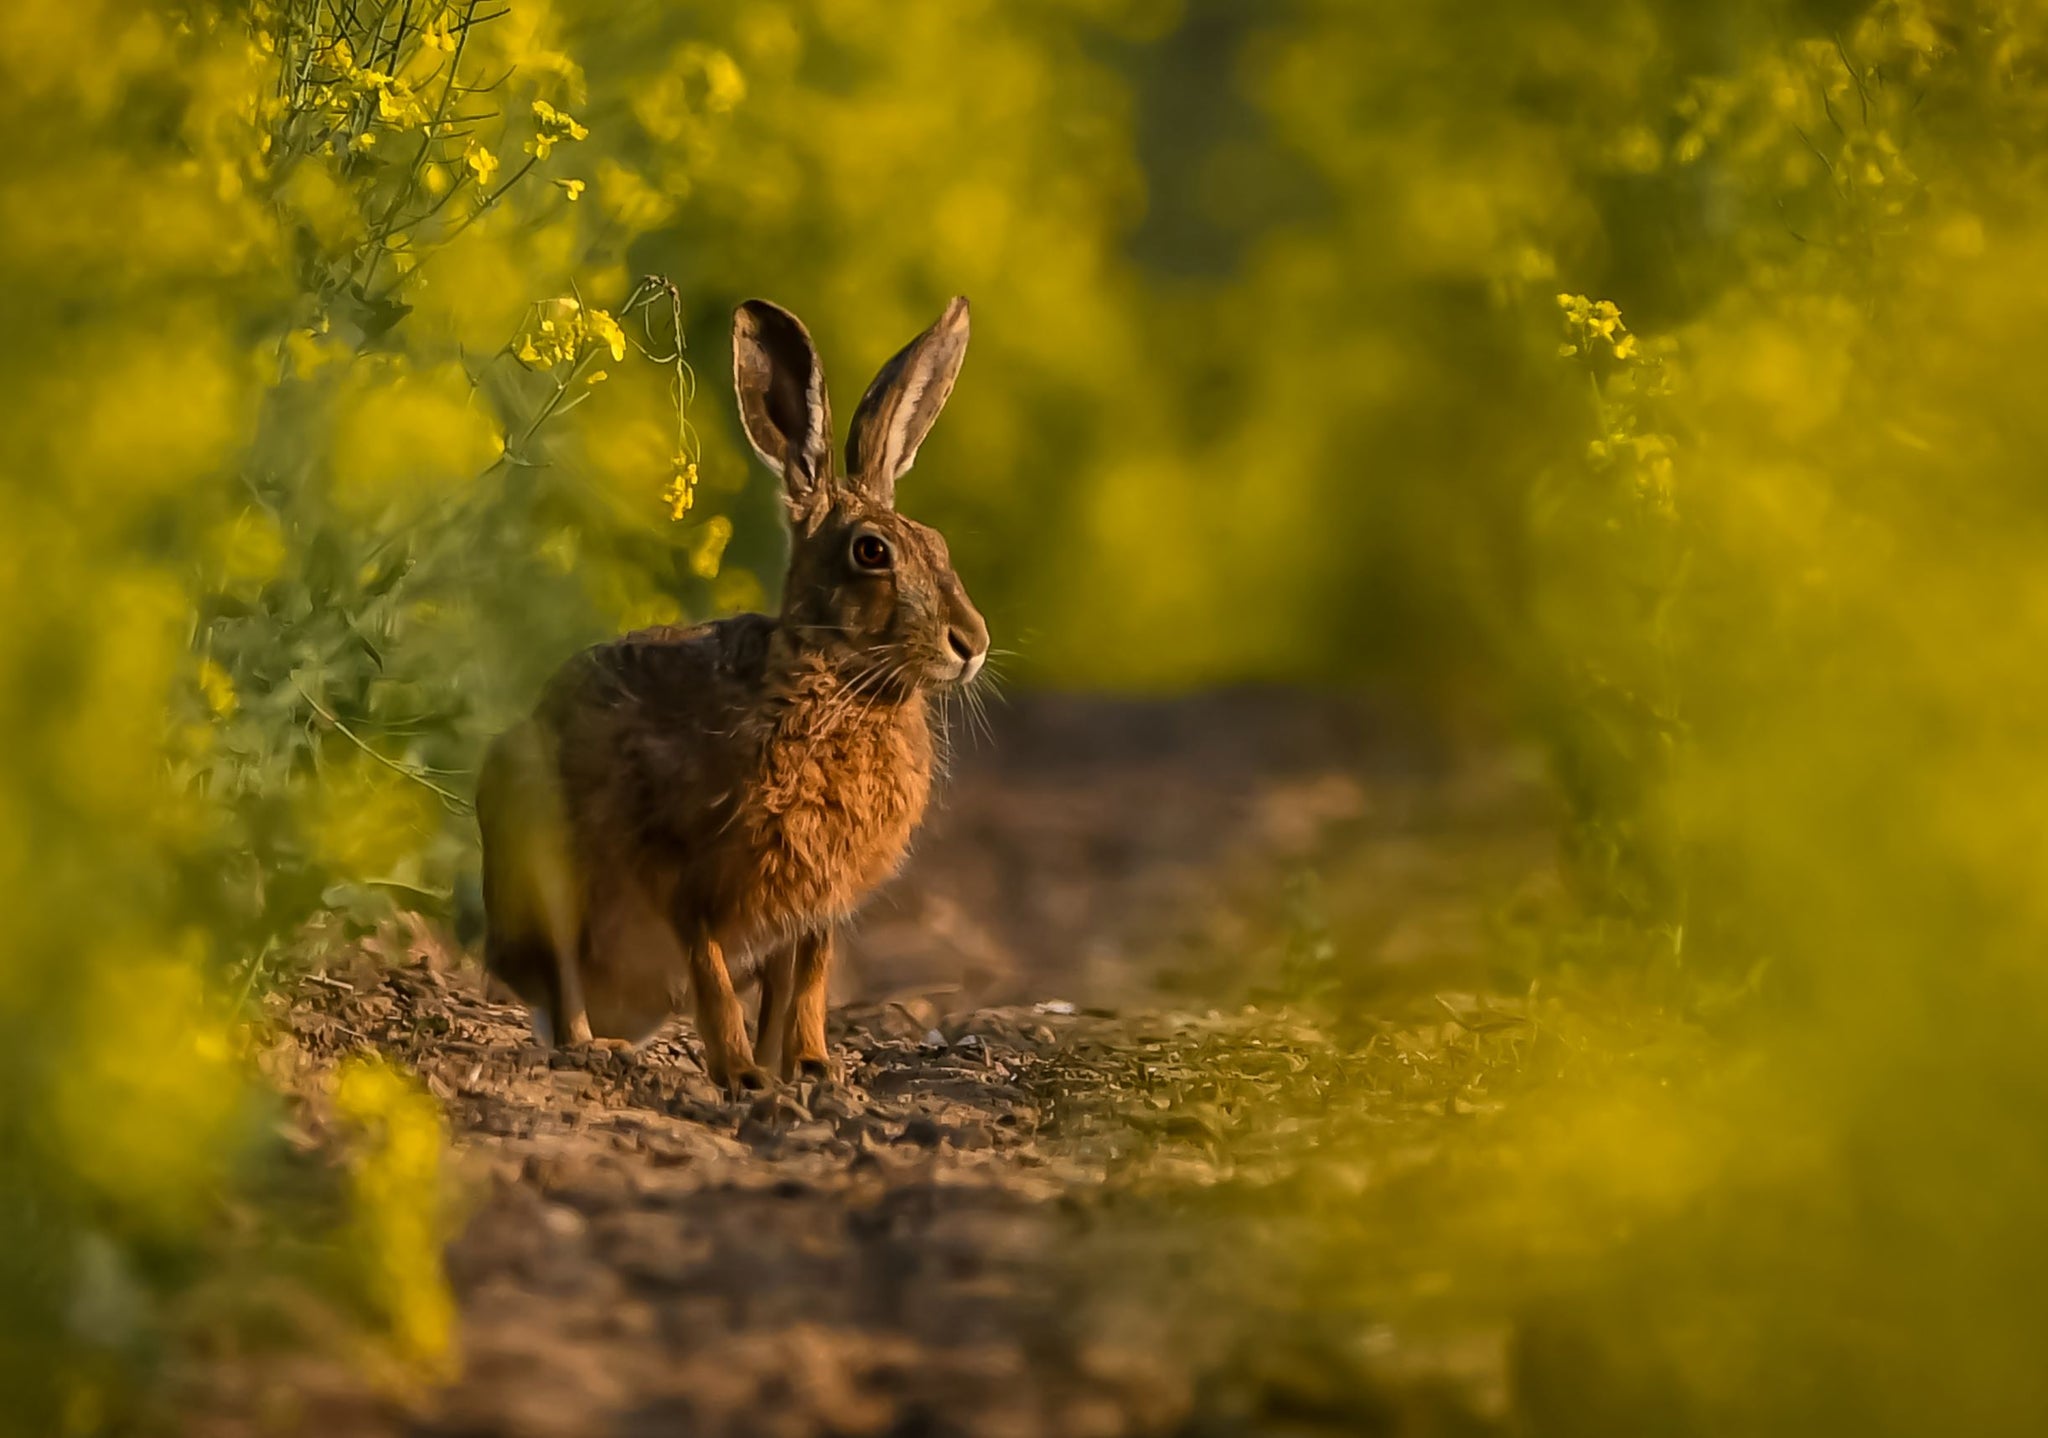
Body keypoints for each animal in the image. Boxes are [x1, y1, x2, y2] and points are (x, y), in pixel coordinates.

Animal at [476, 296, 987, 1093]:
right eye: (872, 552)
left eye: (936, 544)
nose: (973, 641)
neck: (835, 684)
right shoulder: (686, 875)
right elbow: (711, 975)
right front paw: (744, 1075)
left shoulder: (813, 907)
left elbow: (806, 983)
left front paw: (807, 1067)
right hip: (535, 853)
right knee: (562, 983)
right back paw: (599, 1048)